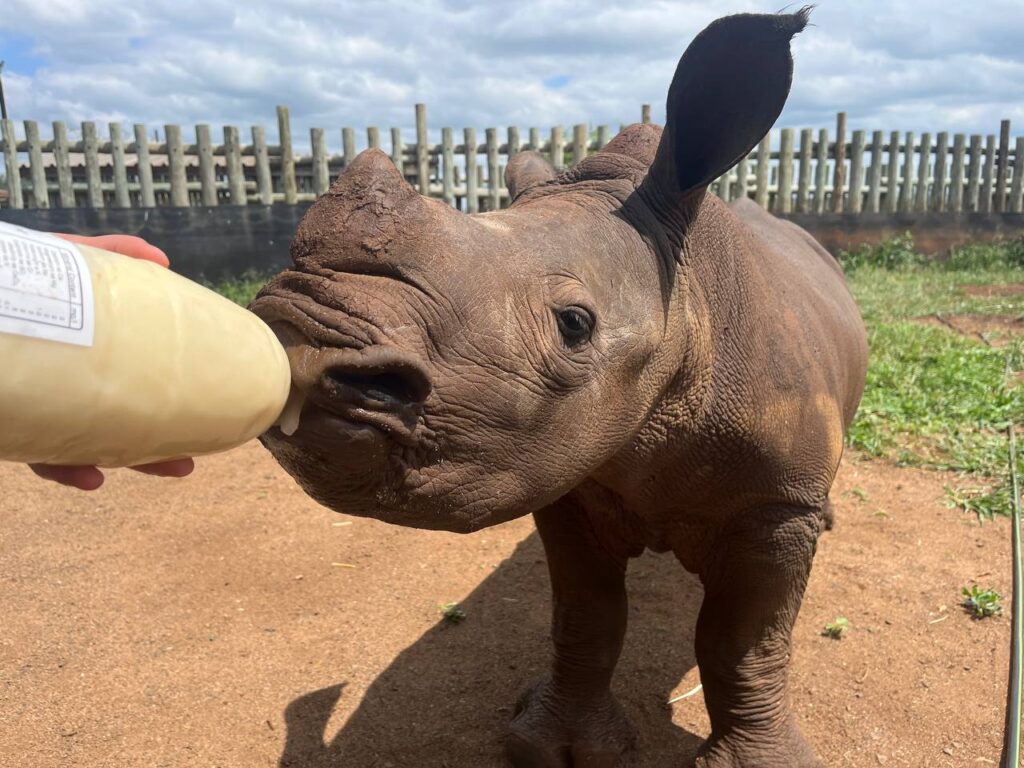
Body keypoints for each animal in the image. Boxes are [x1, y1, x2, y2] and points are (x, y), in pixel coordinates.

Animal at [250, 8, 868, 767]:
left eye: (574, 324)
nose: (296, 342)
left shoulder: (774, 502)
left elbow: (743, 644)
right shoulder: (567, 474)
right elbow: (586, 616)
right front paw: (556, 747)